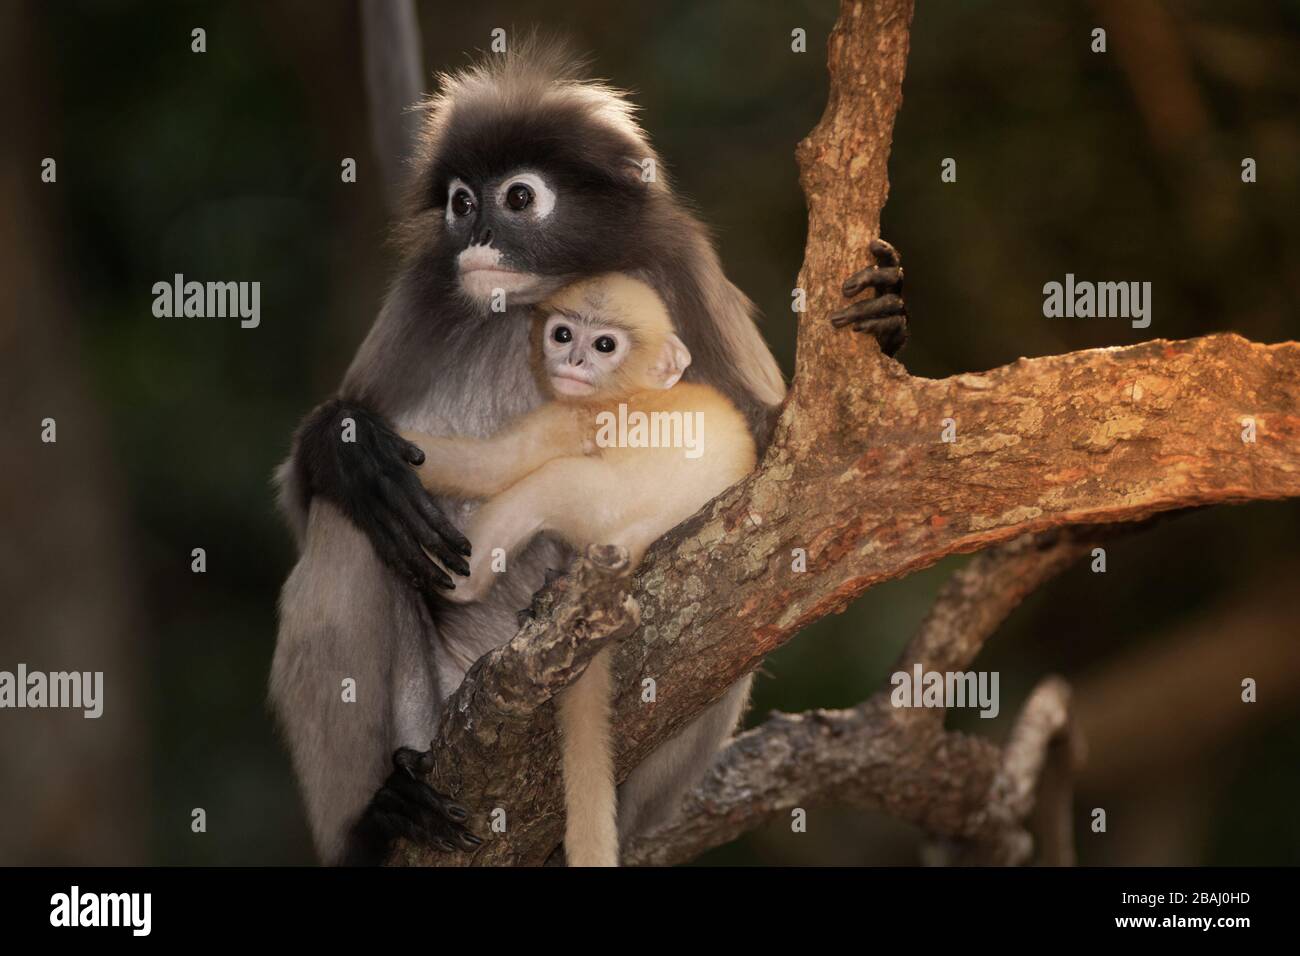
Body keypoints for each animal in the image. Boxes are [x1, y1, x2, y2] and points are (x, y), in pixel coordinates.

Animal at [398, 273, 756, 865]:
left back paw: (457, 585)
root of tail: (641, 537)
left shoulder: (573, 416)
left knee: (547, 480)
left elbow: (488, 468)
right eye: (563, 334)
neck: (636, 395)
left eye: (605, 345)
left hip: (601, 497)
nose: (574, 360)